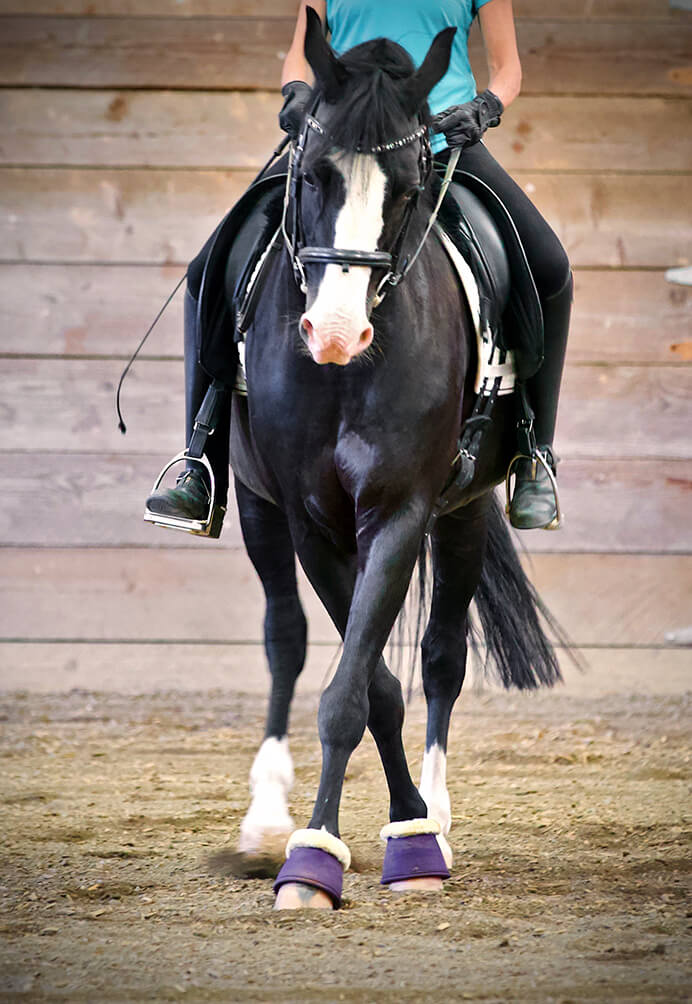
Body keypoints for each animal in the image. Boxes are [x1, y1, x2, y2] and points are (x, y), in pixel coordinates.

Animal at [227, 9, 561, 909]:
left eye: (409, 190)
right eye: (312, 176)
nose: (336, 334)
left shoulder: (403, 510)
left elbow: (366, 683)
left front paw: (403, 838)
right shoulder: (312, 521)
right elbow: (364, 681)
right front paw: (317, 850)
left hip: (466, 510)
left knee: (443, 658)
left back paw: (436, 814)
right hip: (254, 503)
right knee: (283, 635)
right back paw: (263, 818)